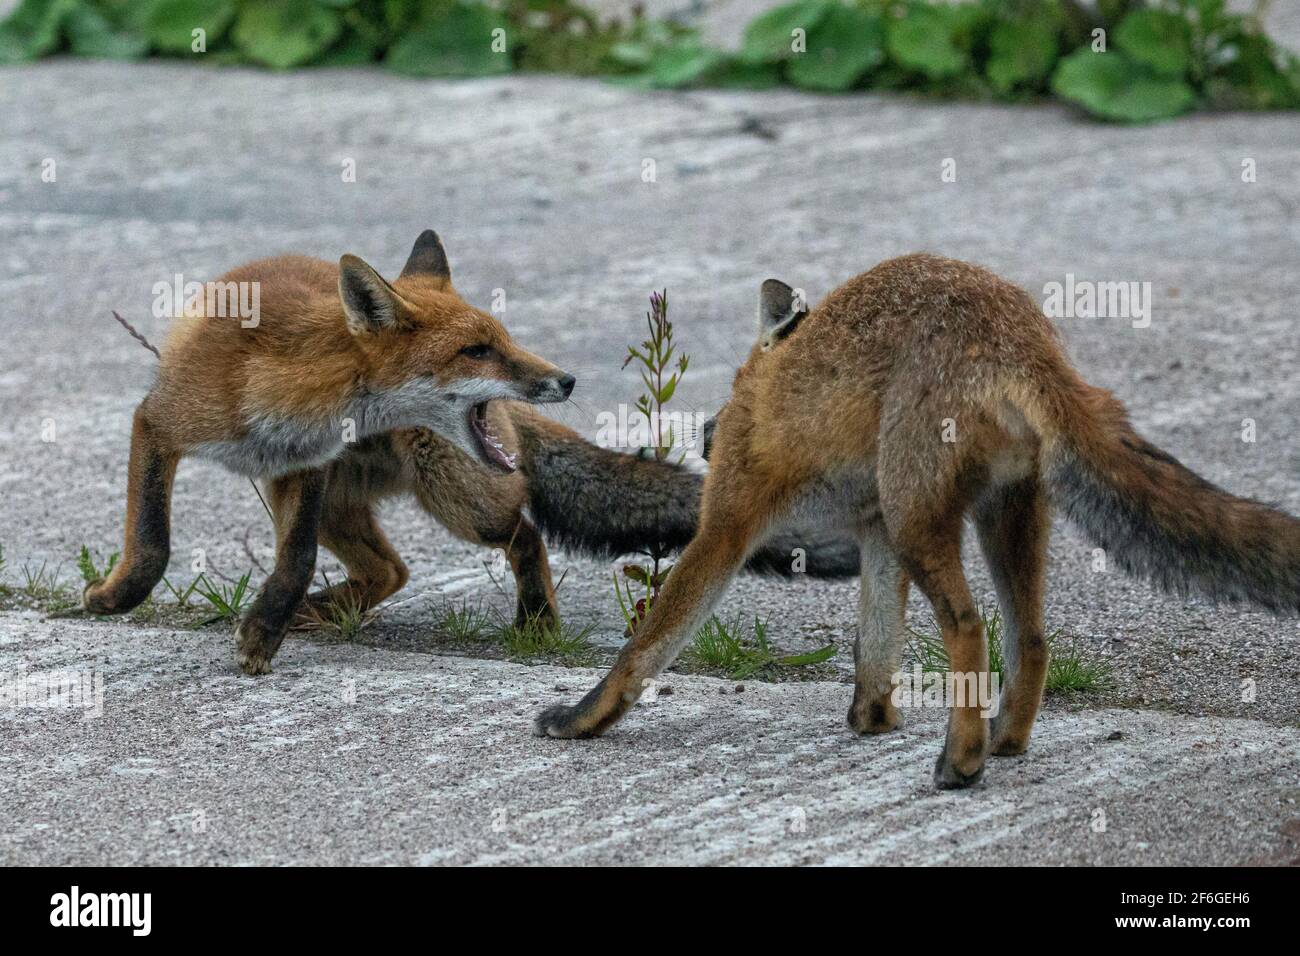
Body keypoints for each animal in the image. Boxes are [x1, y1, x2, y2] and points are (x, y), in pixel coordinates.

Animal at [83, 230, 575, 675]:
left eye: (505, 342)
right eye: (475, 351)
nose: (568, 380)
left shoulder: (307, 465)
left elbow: (298, 560)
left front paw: (262, 633)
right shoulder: (158, 423)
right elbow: (152, 541)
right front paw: (114, 597)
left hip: (453, 494)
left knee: (523, 537)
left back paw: (536, 624)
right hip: (343, 505)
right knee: (391, 571)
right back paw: (318, 611)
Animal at [535, 253, 1300, 789]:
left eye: (729, 392)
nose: (706, 437)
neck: (772, 383)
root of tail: (1021, 335)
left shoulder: (731, 519)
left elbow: (644, 648)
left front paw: (582, 718)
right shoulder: (874, 534)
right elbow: (875, 651)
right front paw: (871, 722)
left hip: (918, 521)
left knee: (968, 628)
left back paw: (961, 762)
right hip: (1001, 515)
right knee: (1031, 639)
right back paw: (1003, 741)